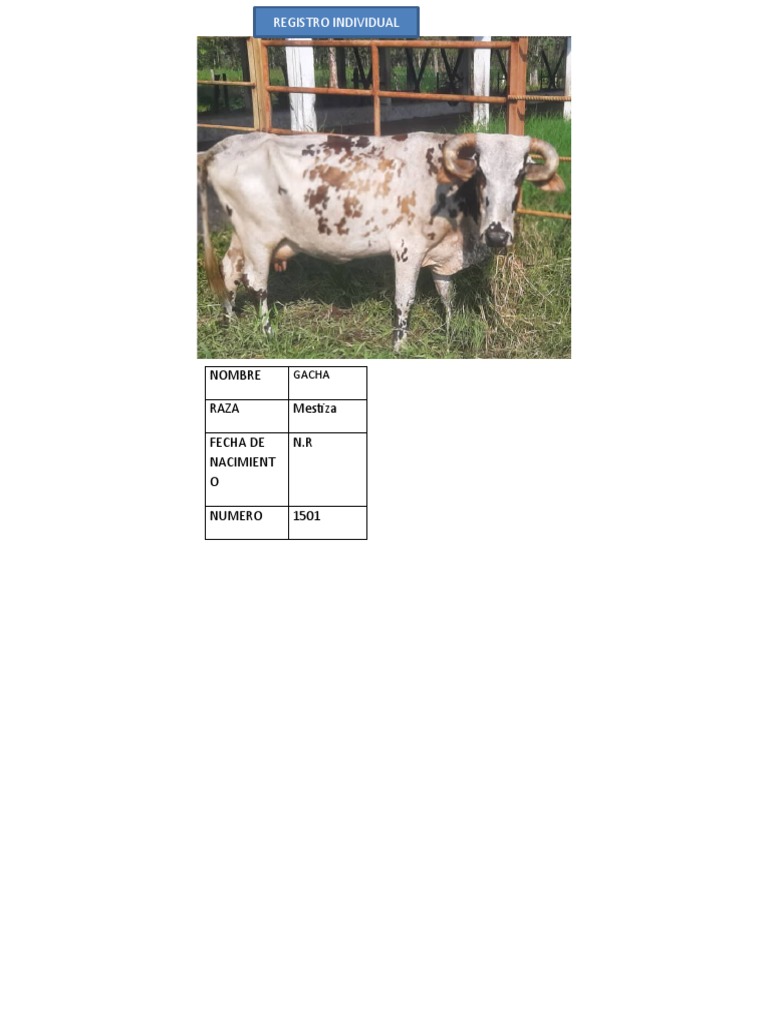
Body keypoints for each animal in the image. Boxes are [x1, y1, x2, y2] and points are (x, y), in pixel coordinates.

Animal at [198, 131, 565, 353]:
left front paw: (450, 331)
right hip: (259, 239)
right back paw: (267, 334)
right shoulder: (407, 250)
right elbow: (405, 301)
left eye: (520, 174)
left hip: (241, 236)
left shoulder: (440, 254)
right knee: (257, 285)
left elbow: (447, 294)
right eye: (481, 173)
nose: (498, 235)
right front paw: (400, 346)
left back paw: (230, 321)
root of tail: (226, 145)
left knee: (229, 270)